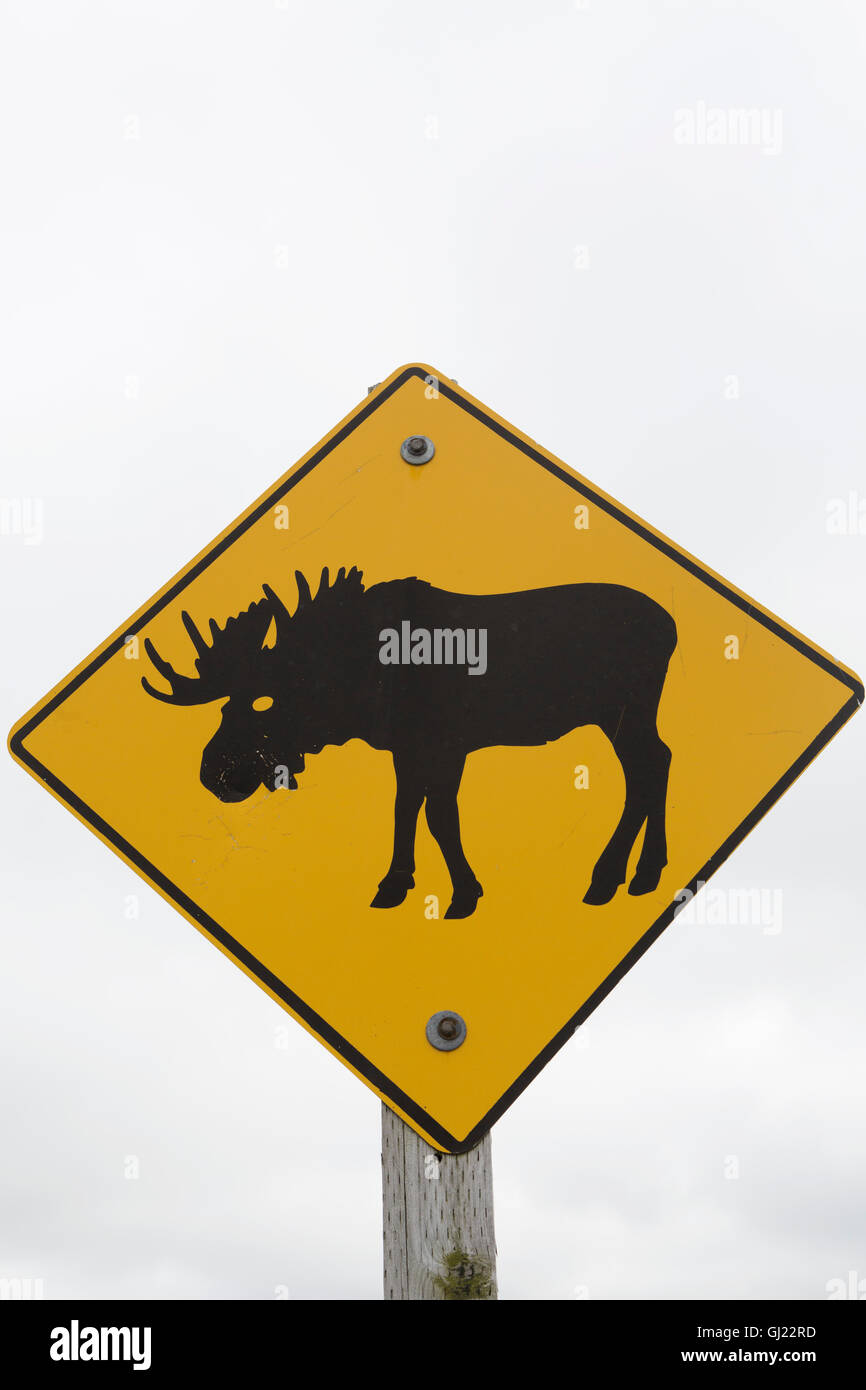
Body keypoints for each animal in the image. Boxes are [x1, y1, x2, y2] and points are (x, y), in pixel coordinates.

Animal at [142, 566, 676, 918]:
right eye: (224, 707)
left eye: (262, 701)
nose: (213, 771)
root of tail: (672, 627)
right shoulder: (410, 748)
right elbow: (406, 807)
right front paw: (397, 884)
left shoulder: (445, 744)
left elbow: (438, 815)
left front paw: (463, 893)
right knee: (658, 761)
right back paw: (644, 872)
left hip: (624, 712)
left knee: (648, 768)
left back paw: (610, 875)